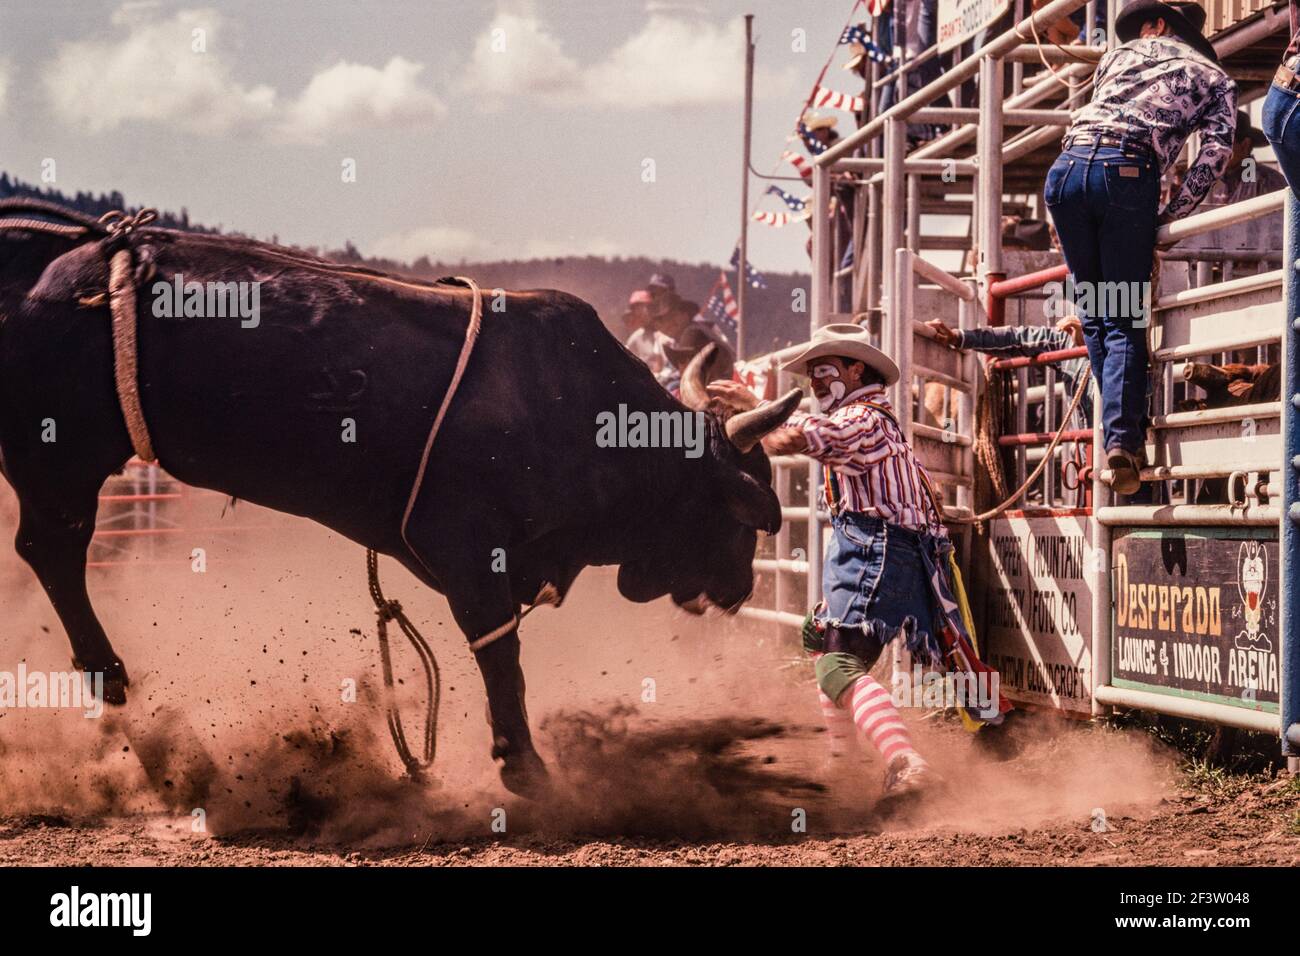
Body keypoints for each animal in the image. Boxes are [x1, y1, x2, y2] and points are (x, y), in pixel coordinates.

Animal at [0, 199, 801, 797]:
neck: (575, 409)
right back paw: (117, 691)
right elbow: (501, 655)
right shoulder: (472, 551)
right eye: (747, 518)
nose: (741, 590)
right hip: (58, 458)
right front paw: (528, 770)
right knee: (52, 552)